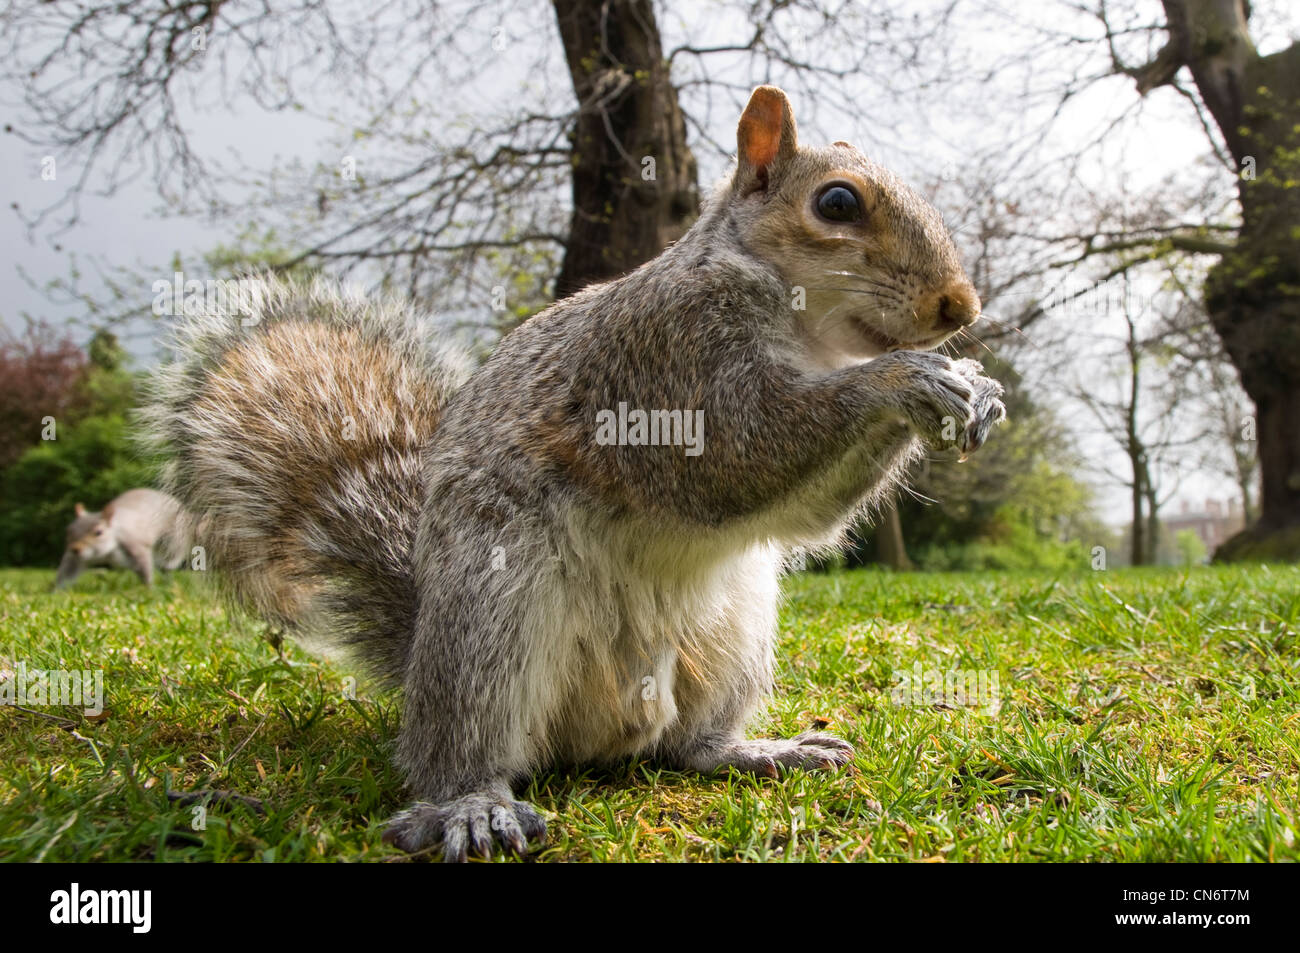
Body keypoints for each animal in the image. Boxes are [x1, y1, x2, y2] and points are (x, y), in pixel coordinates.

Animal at [54, 488, 189, 589]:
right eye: (69, 531)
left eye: (98, 532)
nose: (75, 549)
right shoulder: (75, 559)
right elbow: (67, 573)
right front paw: (55, 591)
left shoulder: (134, 545)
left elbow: (144, 567)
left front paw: (149, 589)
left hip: (172, 540)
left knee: (170, 560)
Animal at [144, 86, 1006, 861]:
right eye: (836, 203)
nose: (960, 307)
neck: (805, 329)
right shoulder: (667, 362)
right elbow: (742, 451)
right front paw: (904, 378)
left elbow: (804, 512)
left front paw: (980, 388)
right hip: (491, 611)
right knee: (459, 747)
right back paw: (471, 805)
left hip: (735, 630)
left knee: (686, 746)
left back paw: (756, 748)